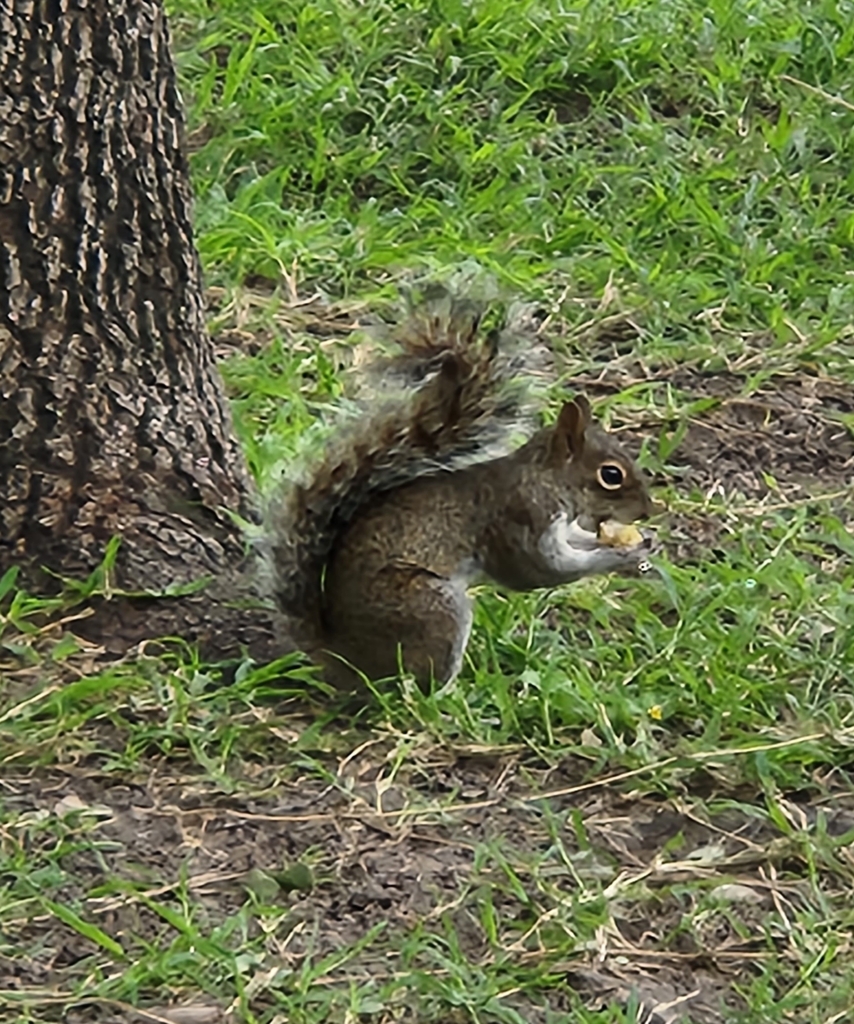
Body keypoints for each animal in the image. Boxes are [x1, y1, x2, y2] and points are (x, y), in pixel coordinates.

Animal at [269, 286, 657, 690]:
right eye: (610, 475)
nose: (649, 510)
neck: (546, 479)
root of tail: (342, 655)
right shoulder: (518, 518)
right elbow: (540, 572)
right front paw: (620, 557)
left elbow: (577, 542)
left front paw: (640, 542)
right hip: (432, 607)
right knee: (412, 683)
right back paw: (452, 694)